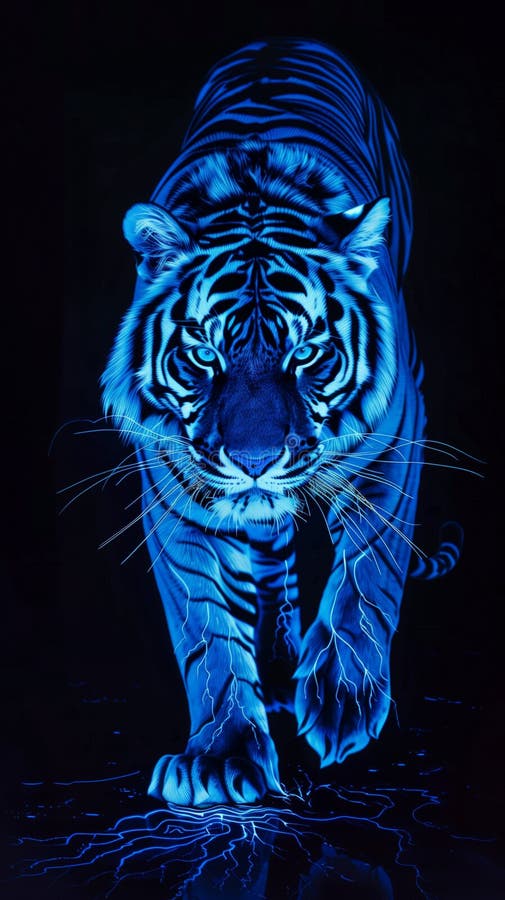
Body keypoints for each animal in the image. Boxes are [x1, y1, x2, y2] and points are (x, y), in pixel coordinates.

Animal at [101, 39, 460, 807]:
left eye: (306, 353)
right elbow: (205, 627)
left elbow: (366, 579)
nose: (255, 461)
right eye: (203, 353)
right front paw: (220, 755)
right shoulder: (175, 495)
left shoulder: (396, 442)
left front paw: (343, 699)